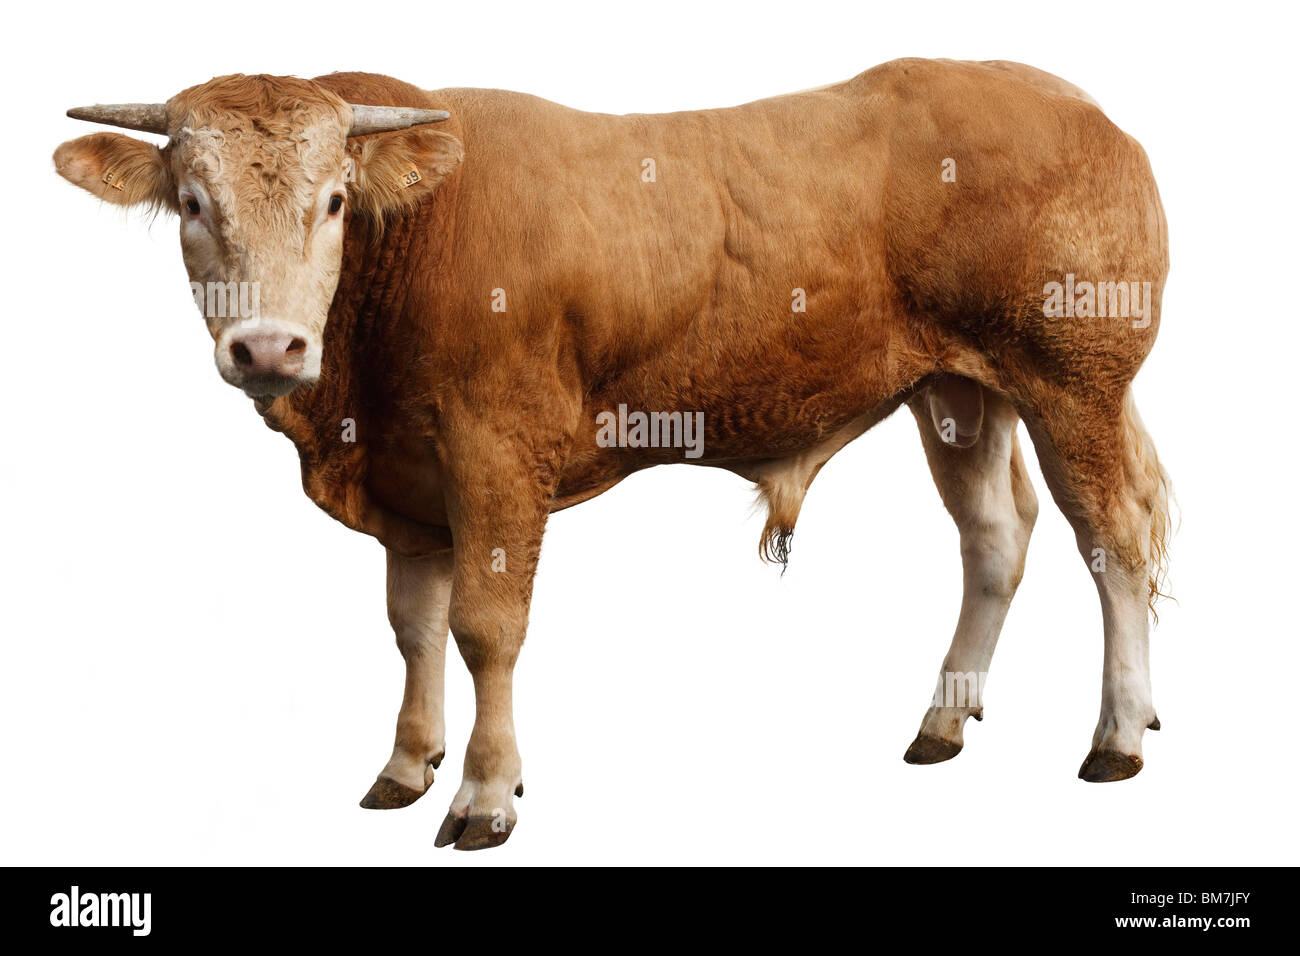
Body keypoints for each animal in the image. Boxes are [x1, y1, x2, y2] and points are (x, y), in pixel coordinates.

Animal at [54, 58, 1171, 850]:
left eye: (333, 199)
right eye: (193, 202)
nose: (268, 347)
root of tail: (1068, 97)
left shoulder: (496, 451)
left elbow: (485, 627)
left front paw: (484, 793)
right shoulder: (410, 481)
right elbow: (414, 630)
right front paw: (408, 764)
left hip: (1072, 380)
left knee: (1111, 540)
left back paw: (1116, 735)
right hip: (958, 390)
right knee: (995, 538)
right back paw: (943, 719)